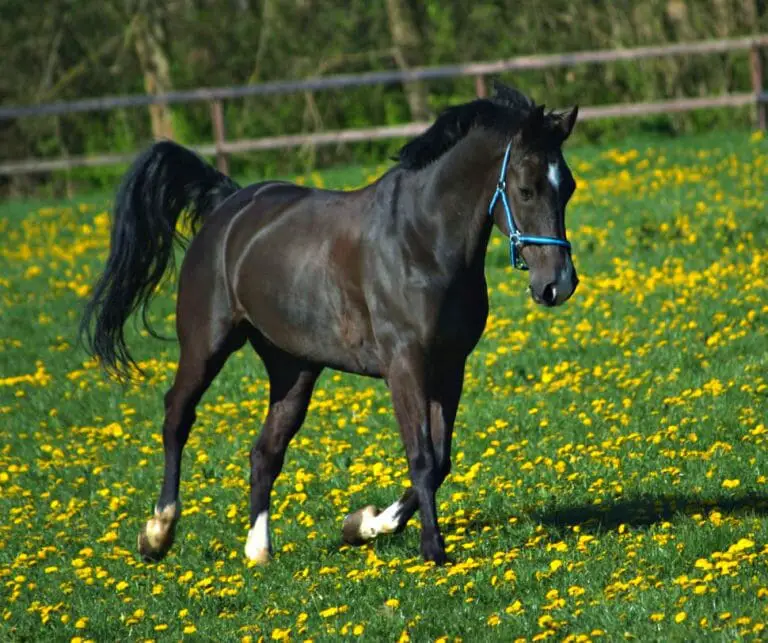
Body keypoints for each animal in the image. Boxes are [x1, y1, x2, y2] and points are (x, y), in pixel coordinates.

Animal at [80, 82, 579, 566]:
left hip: (293, 367)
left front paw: (363, 524)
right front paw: (432, 550)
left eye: (568, 187)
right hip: (206, 344)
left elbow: (441, 461)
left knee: (265, 451)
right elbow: (421, 457)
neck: (421, 242)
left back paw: (258, 550)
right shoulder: (405, 366)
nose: (558, 285)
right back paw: (157, 534)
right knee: (177, 417)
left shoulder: (450, 367)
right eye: (526, 188)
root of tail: (229, 209)